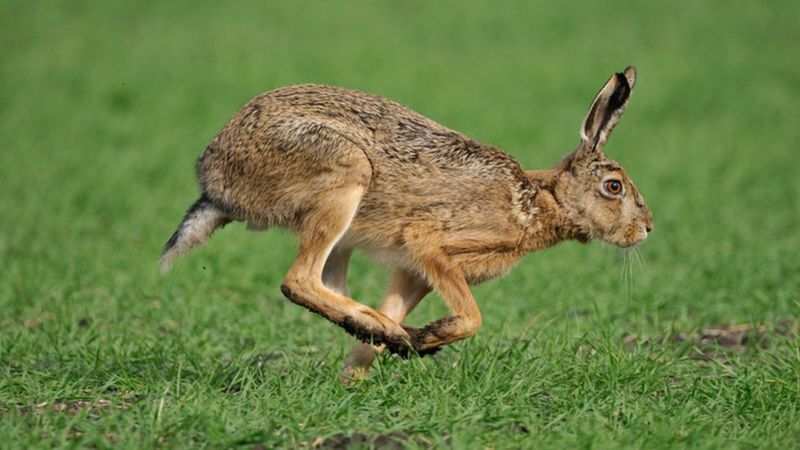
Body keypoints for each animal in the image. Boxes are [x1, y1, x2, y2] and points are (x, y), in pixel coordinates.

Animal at [160, 66, 652, 379]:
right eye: (613, 187)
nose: (647, 228)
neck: (537, 201)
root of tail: (216, 177)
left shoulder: (415, 271)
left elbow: (397, 308)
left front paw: (361, 373)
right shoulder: (431, 244)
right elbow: (472, 317)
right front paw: (426, 336)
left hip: (343, 227)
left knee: (329, 285)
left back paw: (383, 331)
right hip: (344, 176)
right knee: (299, 280)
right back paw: (388, 330)